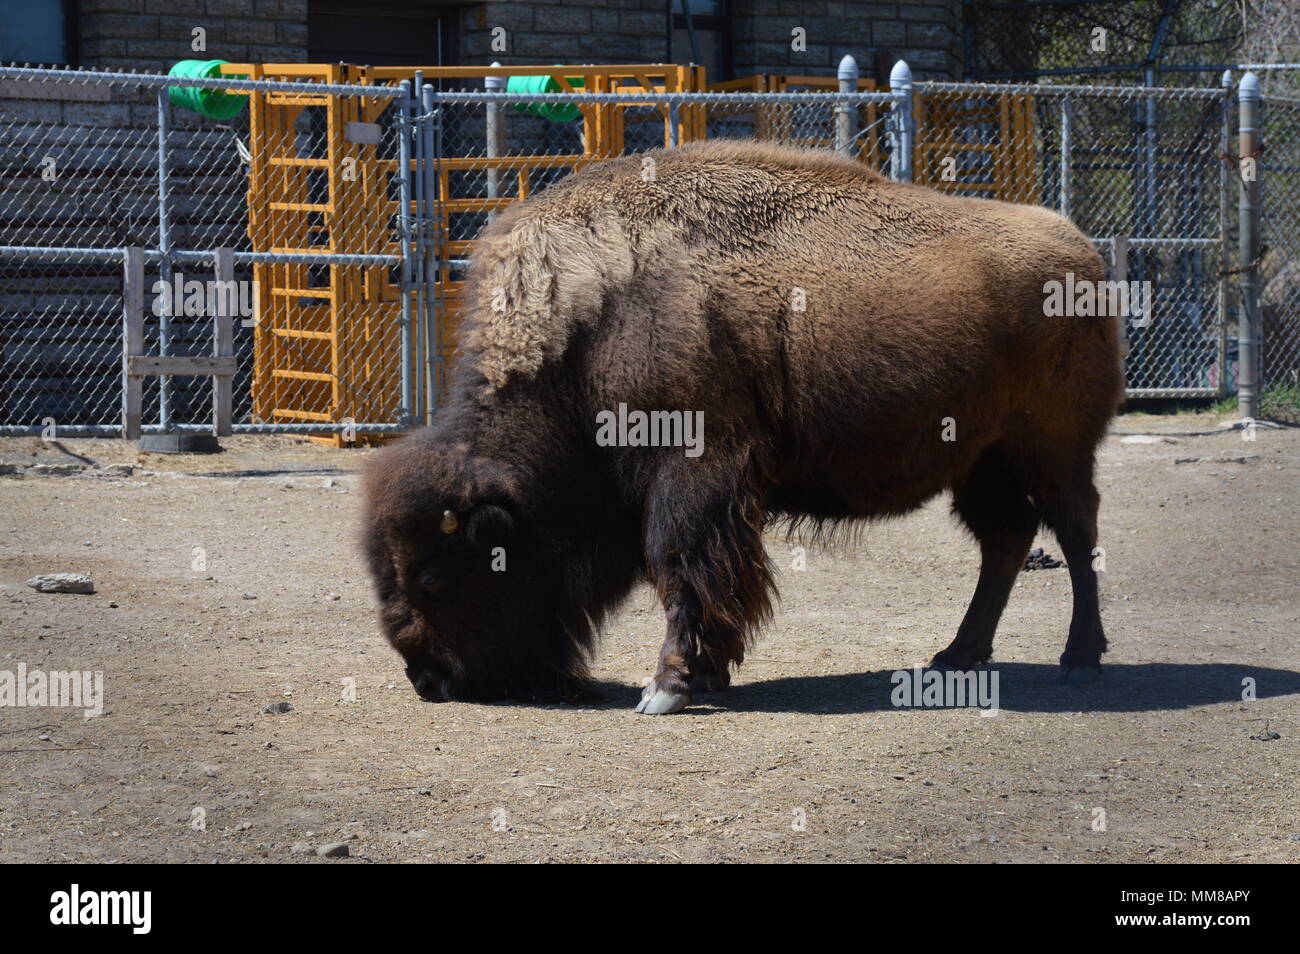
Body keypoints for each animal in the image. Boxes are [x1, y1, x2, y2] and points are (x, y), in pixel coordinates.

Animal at [362, 140, 1122, 714]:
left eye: (435, 578)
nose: (429, 680)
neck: (584, 336)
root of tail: (1083, 251)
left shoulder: (692, 471)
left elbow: (680, 568)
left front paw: (667, 688)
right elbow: (706, 576)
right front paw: (708, 674)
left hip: (1054, 450)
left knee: (1076, 534)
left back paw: (1079, 658)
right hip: (979, 460)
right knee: (1006, 539)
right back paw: (956, 656)